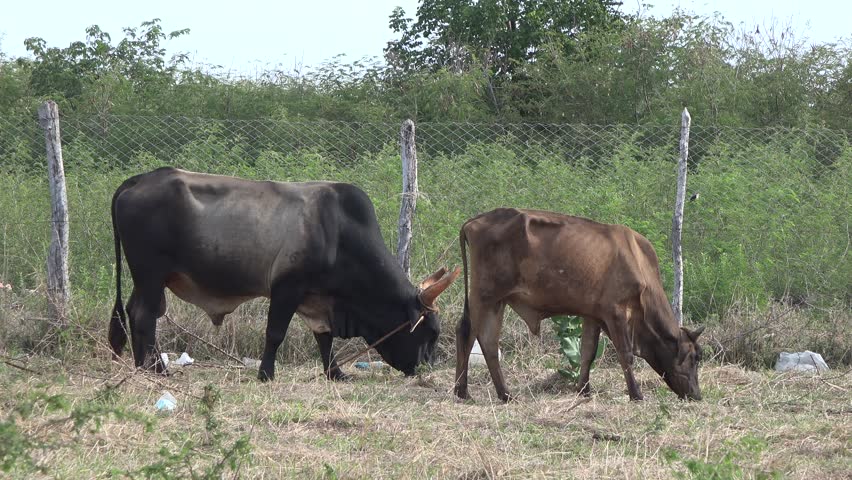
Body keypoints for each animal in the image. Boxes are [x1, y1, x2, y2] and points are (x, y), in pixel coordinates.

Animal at [108, 167, 460, 381]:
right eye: (431, 332)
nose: (426, 369)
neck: (339, 232)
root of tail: (139, 180)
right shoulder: (287, 288)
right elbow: (275, 333)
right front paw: (266, 374)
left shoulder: (318, 299)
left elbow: (324, 337)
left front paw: (335, 373)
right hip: (151, 273)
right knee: (145, 316)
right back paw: (158, 370)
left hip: (147, 278)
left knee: (135, 312)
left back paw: (145, 366)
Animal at [454, 208, 704, 402]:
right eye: (694, 358)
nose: (697, 395)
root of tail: (475, 221)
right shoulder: (615, 312)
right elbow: (626, 354)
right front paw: (636, 394)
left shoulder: (593, 314)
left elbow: (588, 352)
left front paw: (584, 390)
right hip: (483, 296)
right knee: (466, 332)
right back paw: (462, 391)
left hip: (497, 302)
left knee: (488, 342)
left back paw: (504, 394)